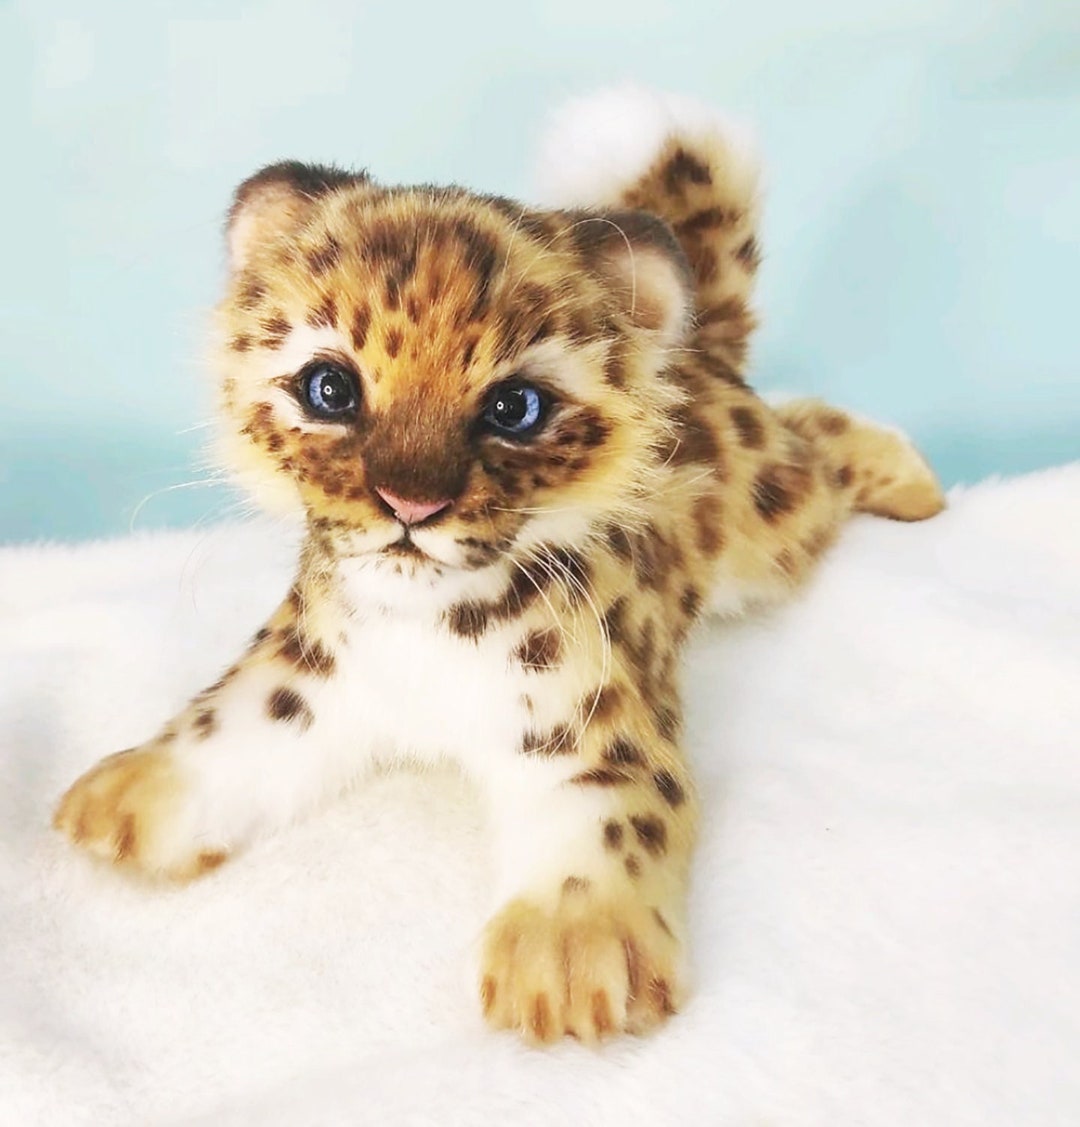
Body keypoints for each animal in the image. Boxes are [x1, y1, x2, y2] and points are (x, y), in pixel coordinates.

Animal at [53, 88, 944, 1044]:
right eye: (330, 389)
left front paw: (573, 950)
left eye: (516, 407)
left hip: (779, 522)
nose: (409, 504)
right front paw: (130, 795)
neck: (426, 621)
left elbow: (606, 815)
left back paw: (909, 479)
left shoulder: (600, 720)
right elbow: (234, 714)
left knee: (812, 435)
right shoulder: (314, 669)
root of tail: (701, 354)